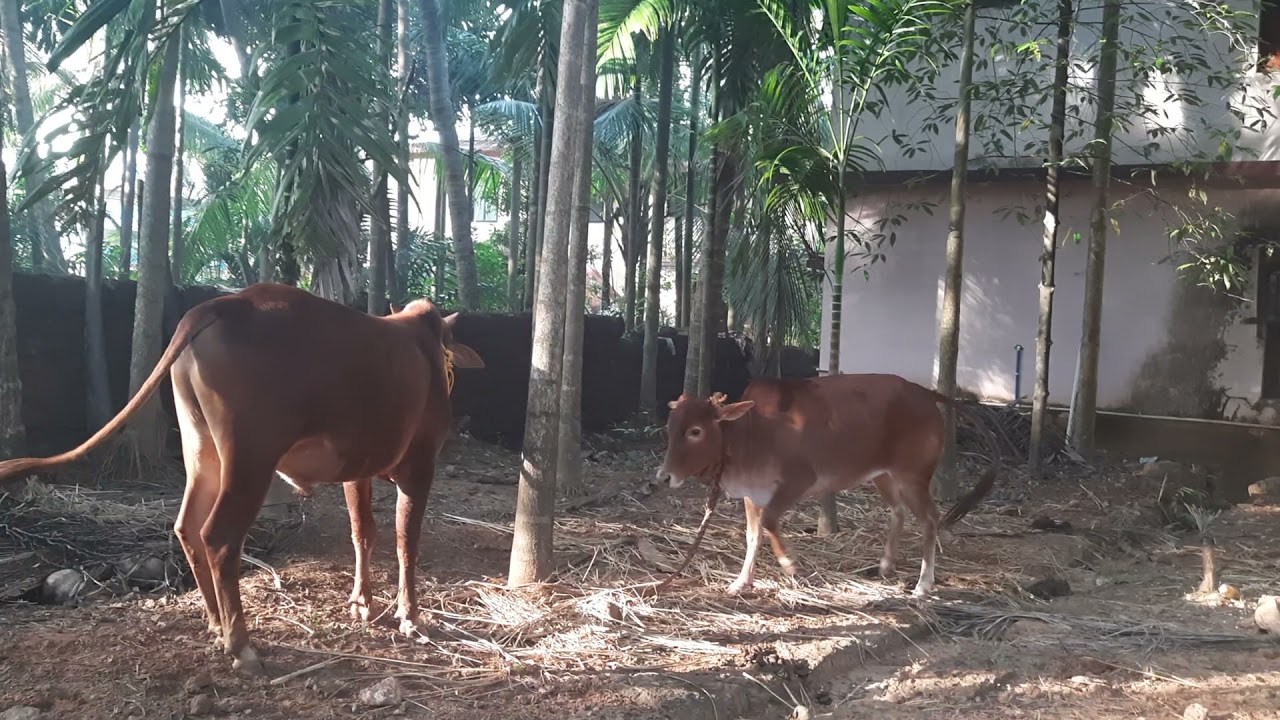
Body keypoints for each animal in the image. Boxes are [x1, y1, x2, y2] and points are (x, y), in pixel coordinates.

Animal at [0, 283, 484, 675]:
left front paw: (362, 603)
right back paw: (241, 644)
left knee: (187, 527)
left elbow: (363, 533)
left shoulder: (357, 470)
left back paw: (217, 625)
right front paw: (411, 616)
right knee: (219, 536)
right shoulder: (419, 466)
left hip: (202, 450)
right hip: (250, 458)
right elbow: (406, 541)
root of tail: (220, 304)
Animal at [656, 374, 1001, 598]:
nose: (664, 477)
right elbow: (753, 536)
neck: (751, 431)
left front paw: (790, 564)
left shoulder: (798, 481)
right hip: (883, 475)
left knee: (929, 519)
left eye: (696, 431)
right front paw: (742, 582)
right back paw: (886, 565)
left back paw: (923, 584)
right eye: (669, 428)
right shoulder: (753, 494)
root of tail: (926, 393)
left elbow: (770, 522)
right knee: (899, 511)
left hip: (912, 475)